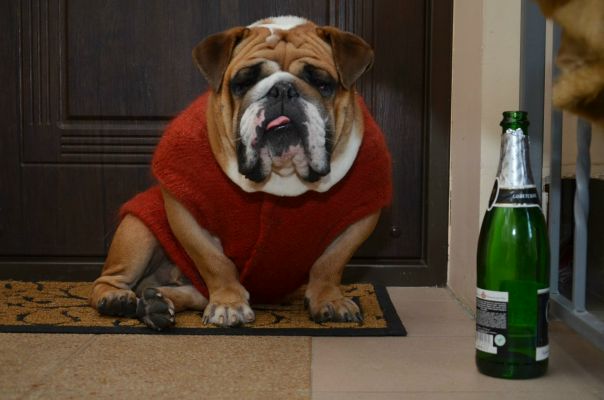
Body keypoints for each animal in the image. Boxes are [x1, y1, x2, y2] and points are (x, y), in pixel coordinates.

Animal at [89, 16, 392, 330]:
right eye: (243, 82)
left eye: (322, 83)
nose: (283, 90)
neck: (281, 177)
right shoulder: (183, 207)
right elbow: (214, 262)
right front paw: (229, 304)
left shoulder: (361, 214)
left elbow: (330, 263)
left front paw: (330, 300)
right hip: (137, 230)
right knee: (110, 279)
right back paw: (119, 299)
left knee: (187, 292)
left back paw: (156, 303)